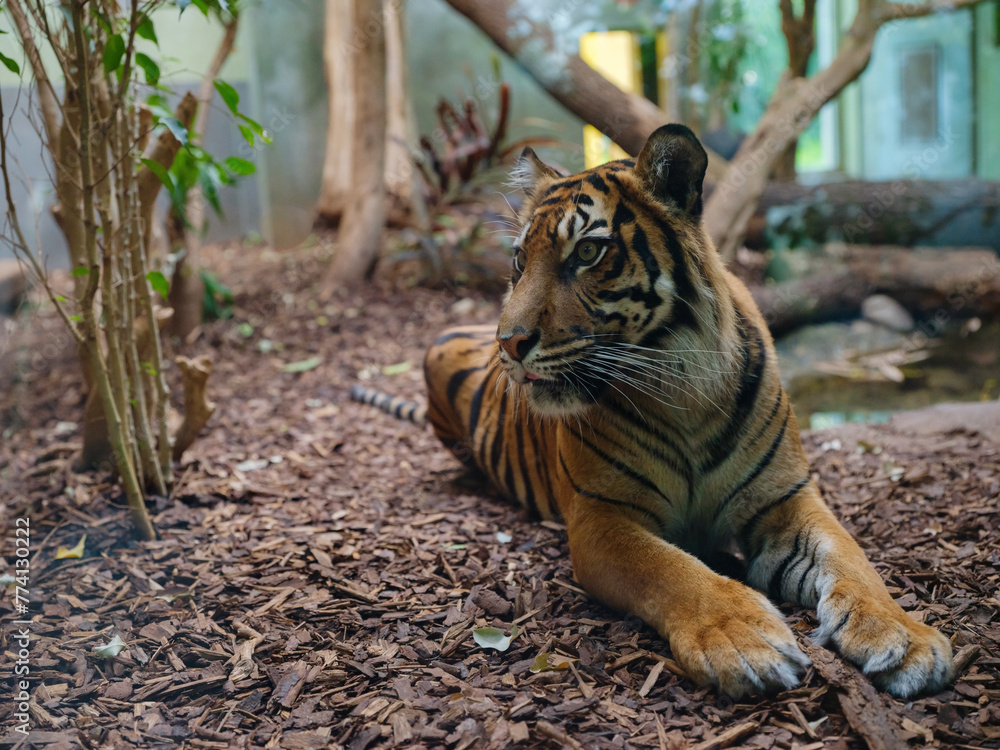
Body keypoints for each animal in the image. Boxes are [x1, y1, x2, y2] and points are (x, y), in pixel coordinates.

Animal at [353, 124, 954, 699]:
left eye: (587, 253)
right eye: (520, 261)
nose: (510, 343)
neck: (684, 388)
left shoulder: (784, 497)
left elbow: (852, 559)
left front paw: (904, 637)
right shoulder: (602, 519)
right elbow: (673, 570)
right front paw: (745, 639)